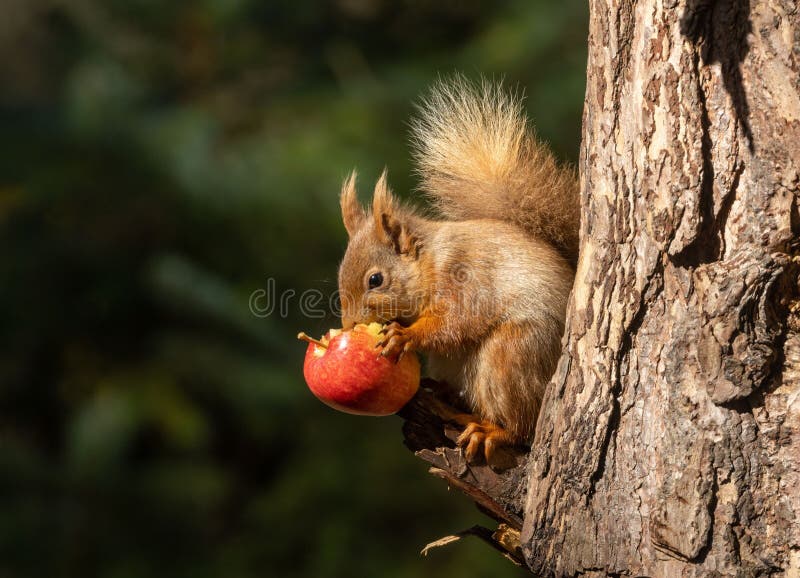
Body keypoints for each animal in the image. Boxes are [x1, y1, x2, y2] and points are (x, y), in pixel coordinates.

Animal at [336, 77, 579, 463]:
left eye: (375, 280)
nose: (348, 327)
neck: (431, 262)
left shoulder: (467, 275)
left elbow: (458, 320)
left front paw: (405, 335)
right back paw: (443, 396)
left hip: (514, 354)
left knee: (521, 426)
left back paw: (490, 429)